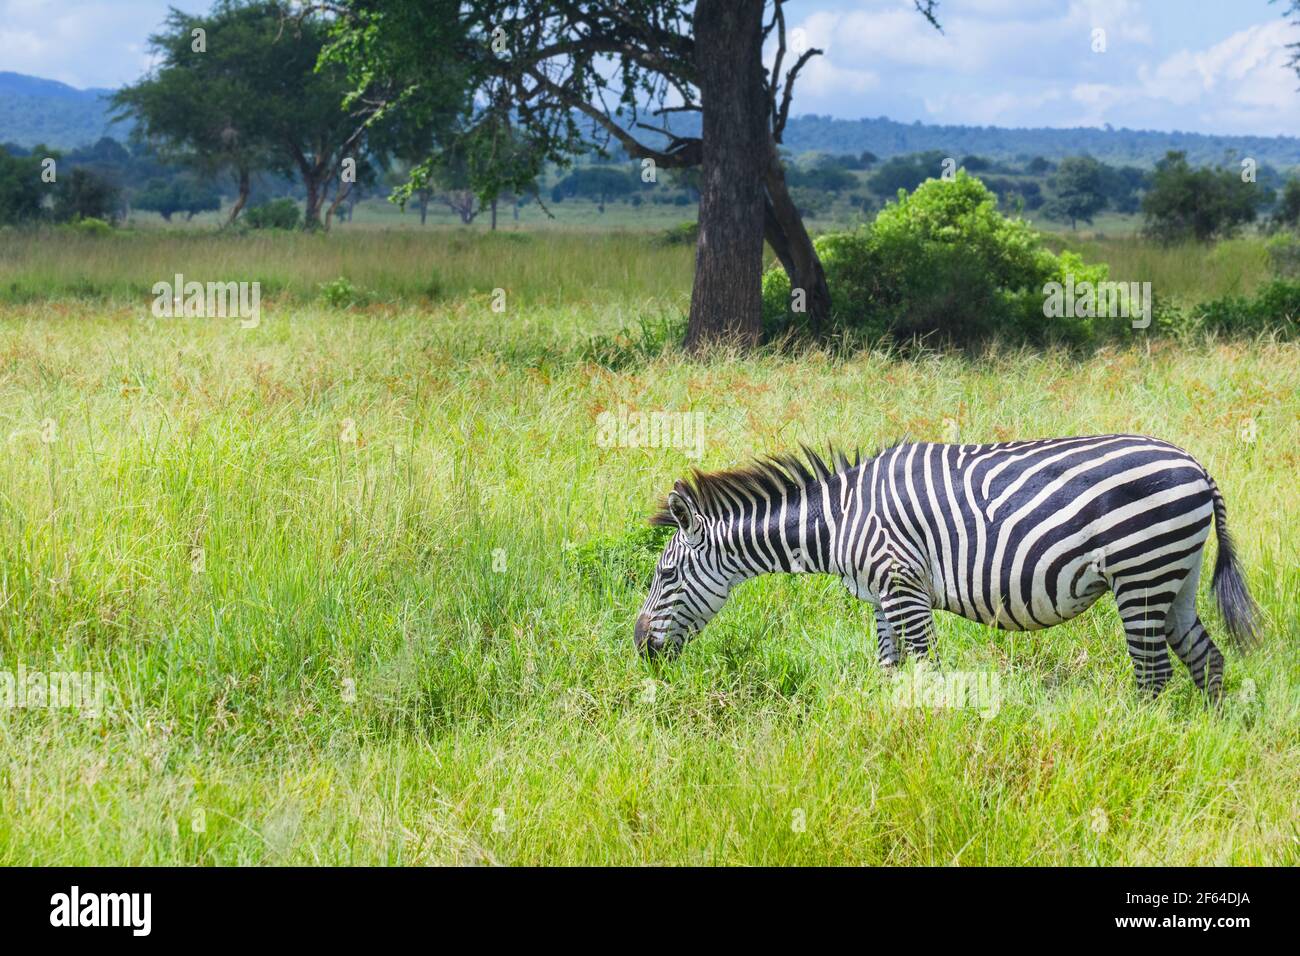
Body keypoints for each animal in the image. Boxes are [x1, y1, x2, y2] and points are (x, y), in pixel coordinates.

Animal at [635, 435, 1259, 700]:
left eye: (664, 577)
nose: (640, 648)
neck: (841, 519)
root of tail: (1197, 466)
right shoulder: (883, 594)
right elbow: (889, 669)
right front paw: (886, 729)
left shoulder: (904, 586)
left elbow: (927, 667)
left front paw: (932, 737)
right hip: (1173, 575)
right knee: (1207, 660)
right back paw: (1198, 741)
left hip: (1141, 573)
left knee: (1153, 676)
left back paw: (1140, 738)